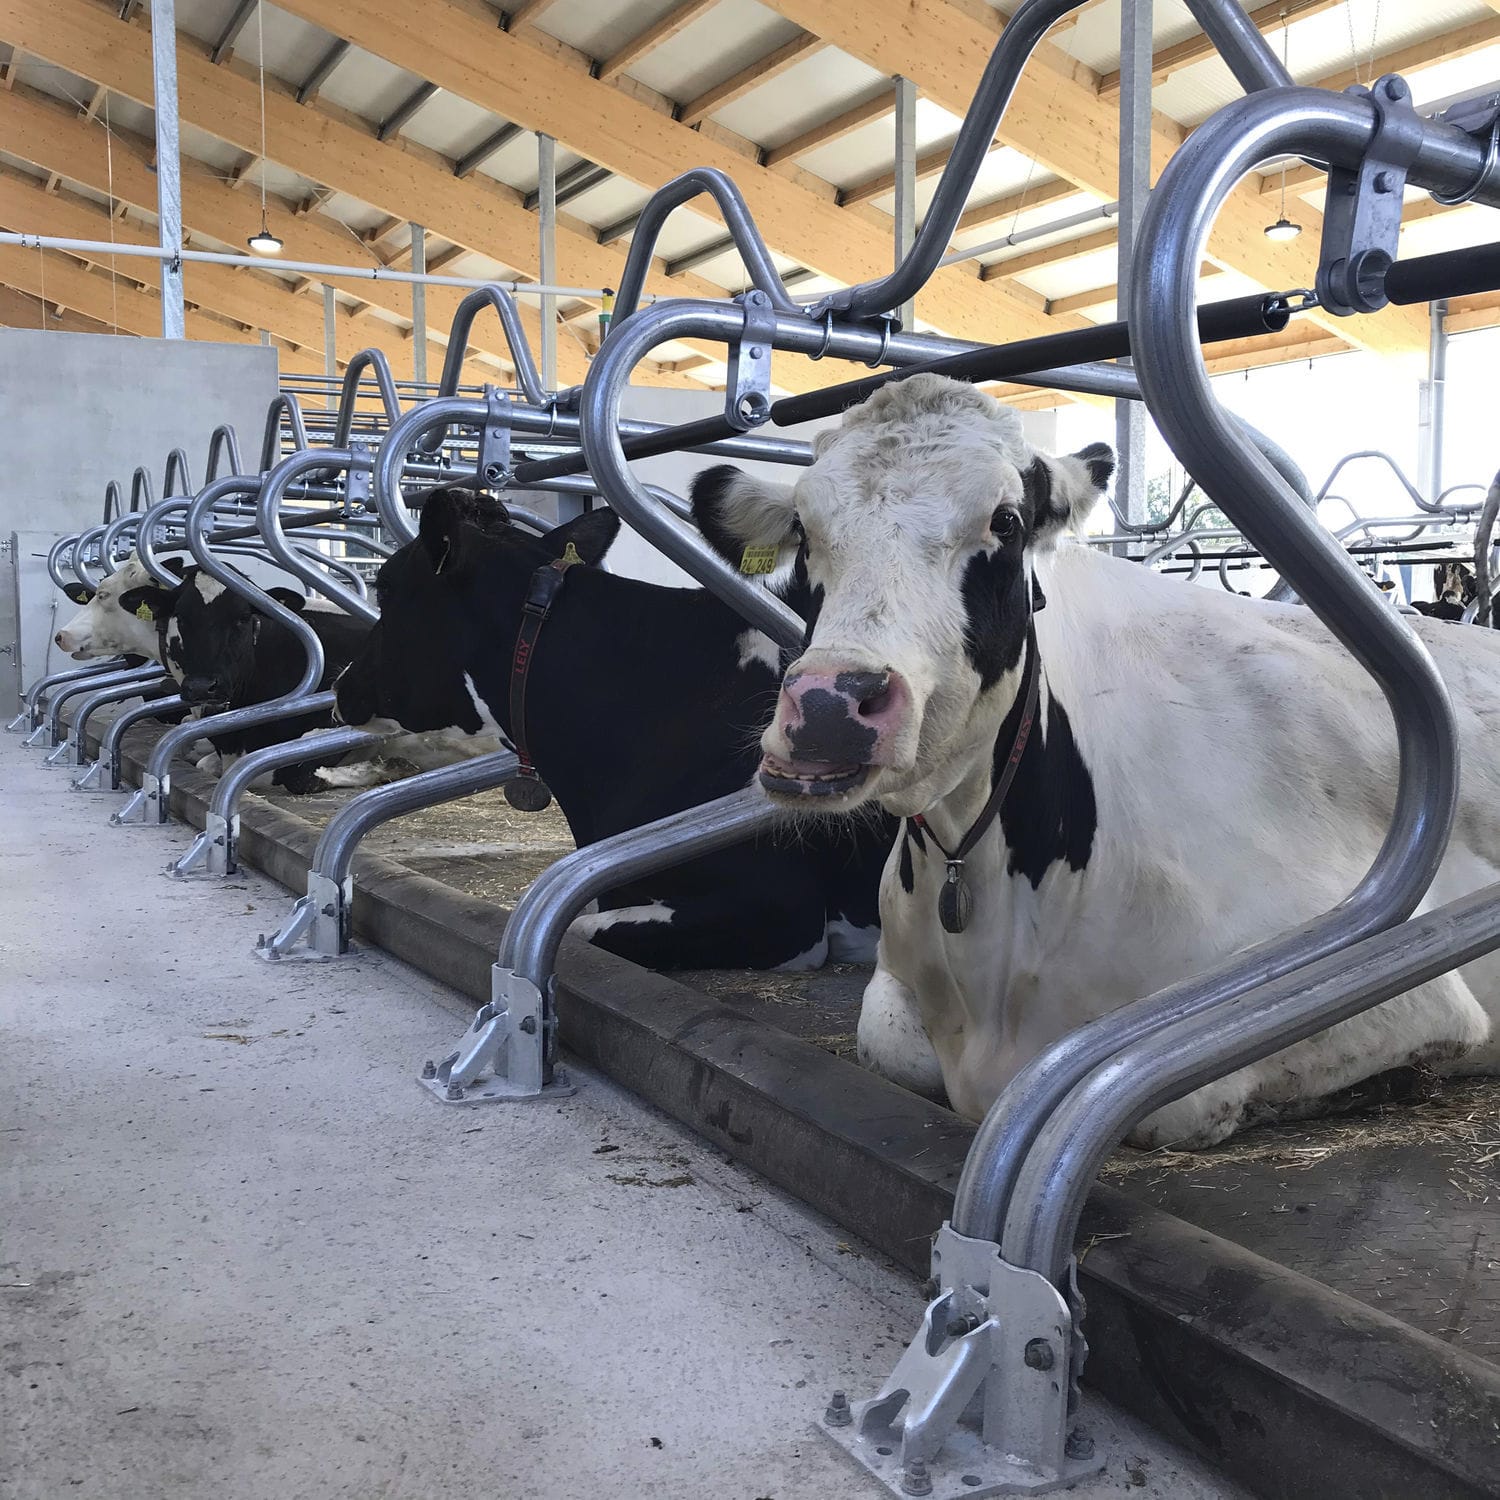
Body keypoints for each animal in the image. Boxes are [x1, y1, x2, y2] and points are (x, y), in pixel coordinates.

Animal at [689, 373, 1500, 1148]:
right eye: (803, 527)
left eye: (1006, 522)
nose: (830, 707)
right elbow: (884, 1040)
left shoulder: (1409, 990)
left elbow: (1174, 1103)